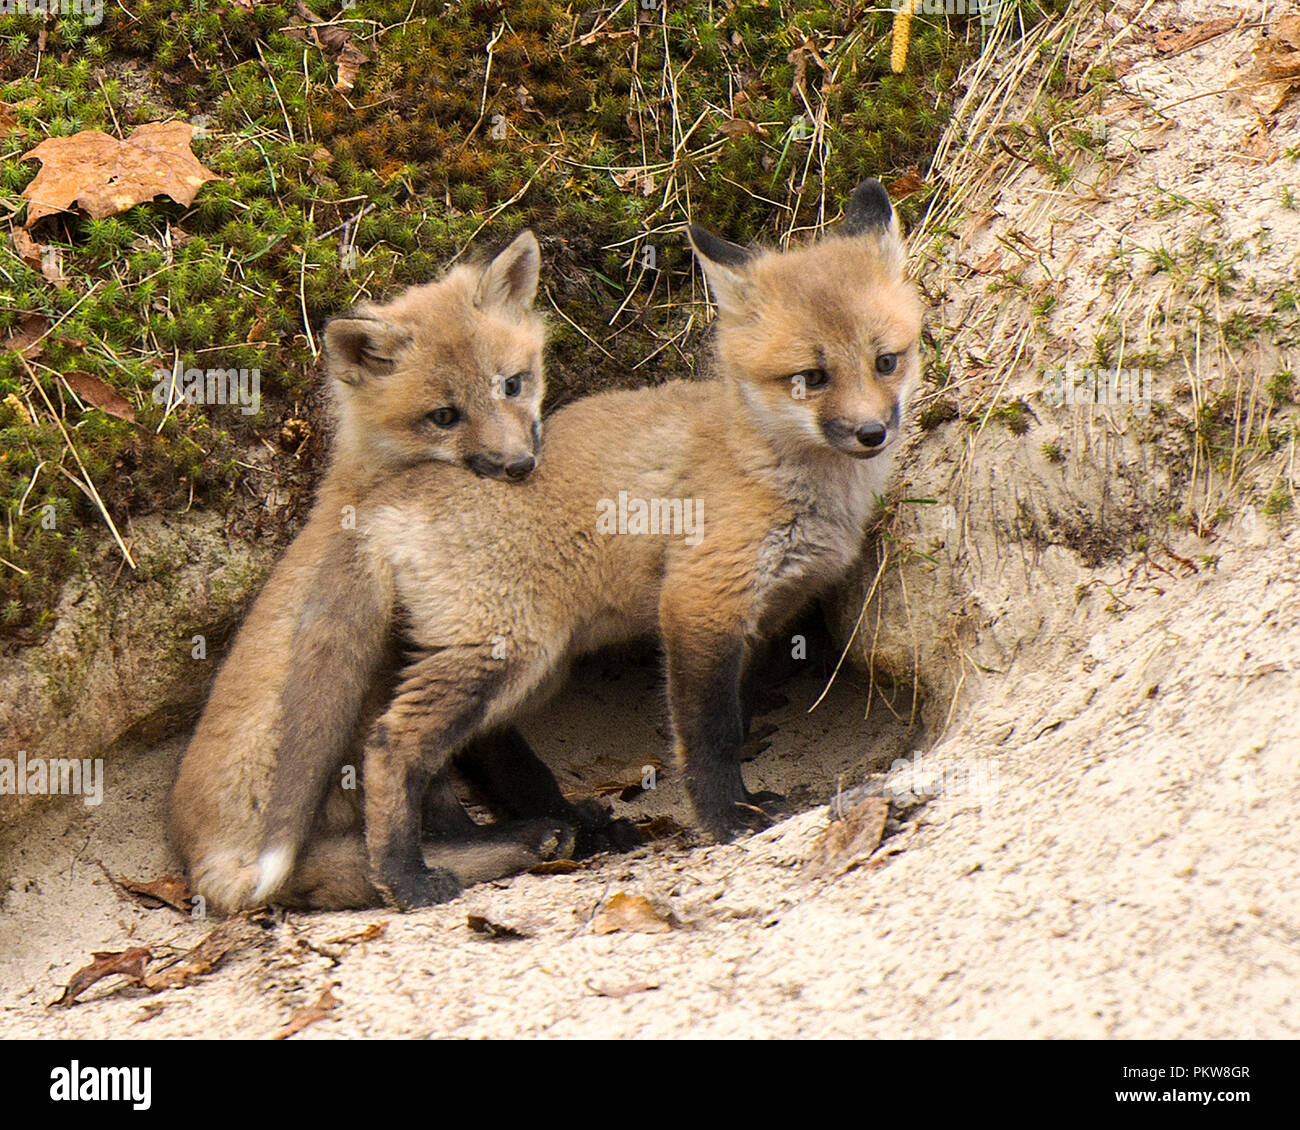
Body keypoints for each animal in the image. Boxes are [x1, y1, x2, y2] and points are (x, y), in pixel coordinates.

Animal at [171, 231, 617, 914]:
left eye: (513, 384)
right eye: (444, 417)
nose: (519, 466)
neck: (376, 485)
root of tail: (204, 864)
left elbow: (514, 772)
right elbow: (517, 773)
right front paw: (569, 820)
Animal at [252, 177, 924, 910]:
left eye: (886, 362)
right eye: (811, 377)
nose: (871, 433)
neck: (774, 463)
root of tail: (387, 495)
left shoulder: (758, 615)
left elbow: (735, 717)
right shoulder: (699, 601)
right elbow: (710, 734)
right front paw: (728, 818)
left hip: (524, 660)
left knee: (471, 749)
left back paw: (557, 829)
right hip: (506, 649)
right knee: (389, 745)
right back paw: (406, 877)